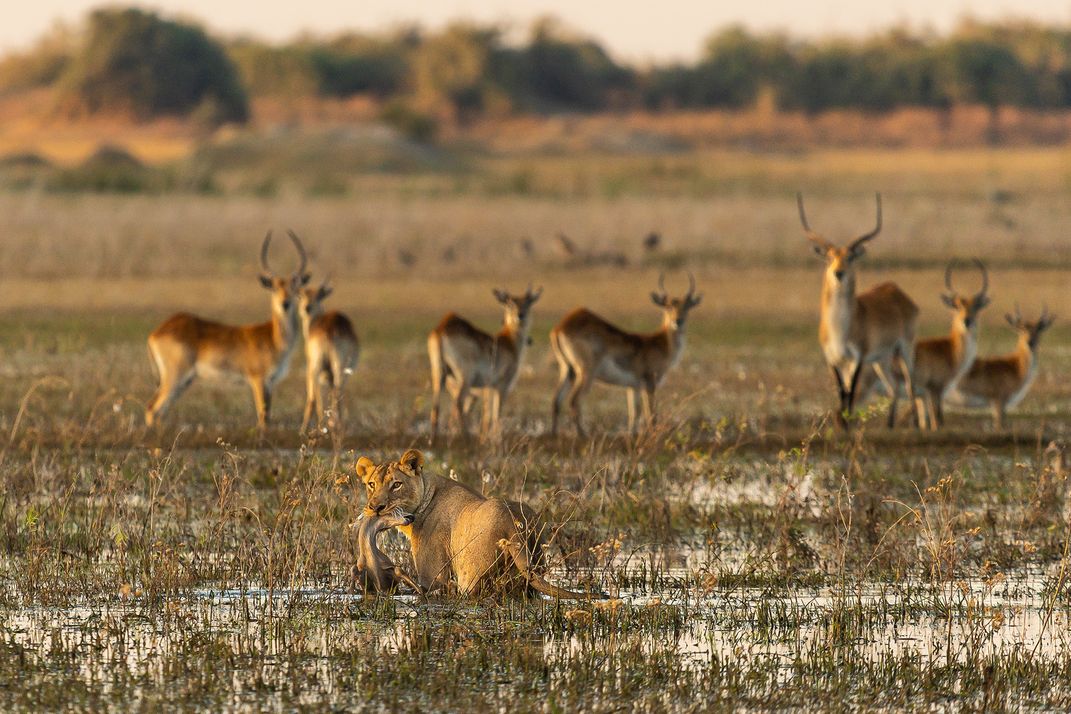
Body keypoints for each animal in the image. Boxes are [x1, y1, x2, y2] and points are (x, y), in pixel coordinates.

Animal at [355, 449, 599, 599]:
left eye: (396, 484)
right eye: (371, 484)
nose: (375, 507)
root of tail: (511, 520)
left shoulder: (433, 577)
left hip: (470, 575)